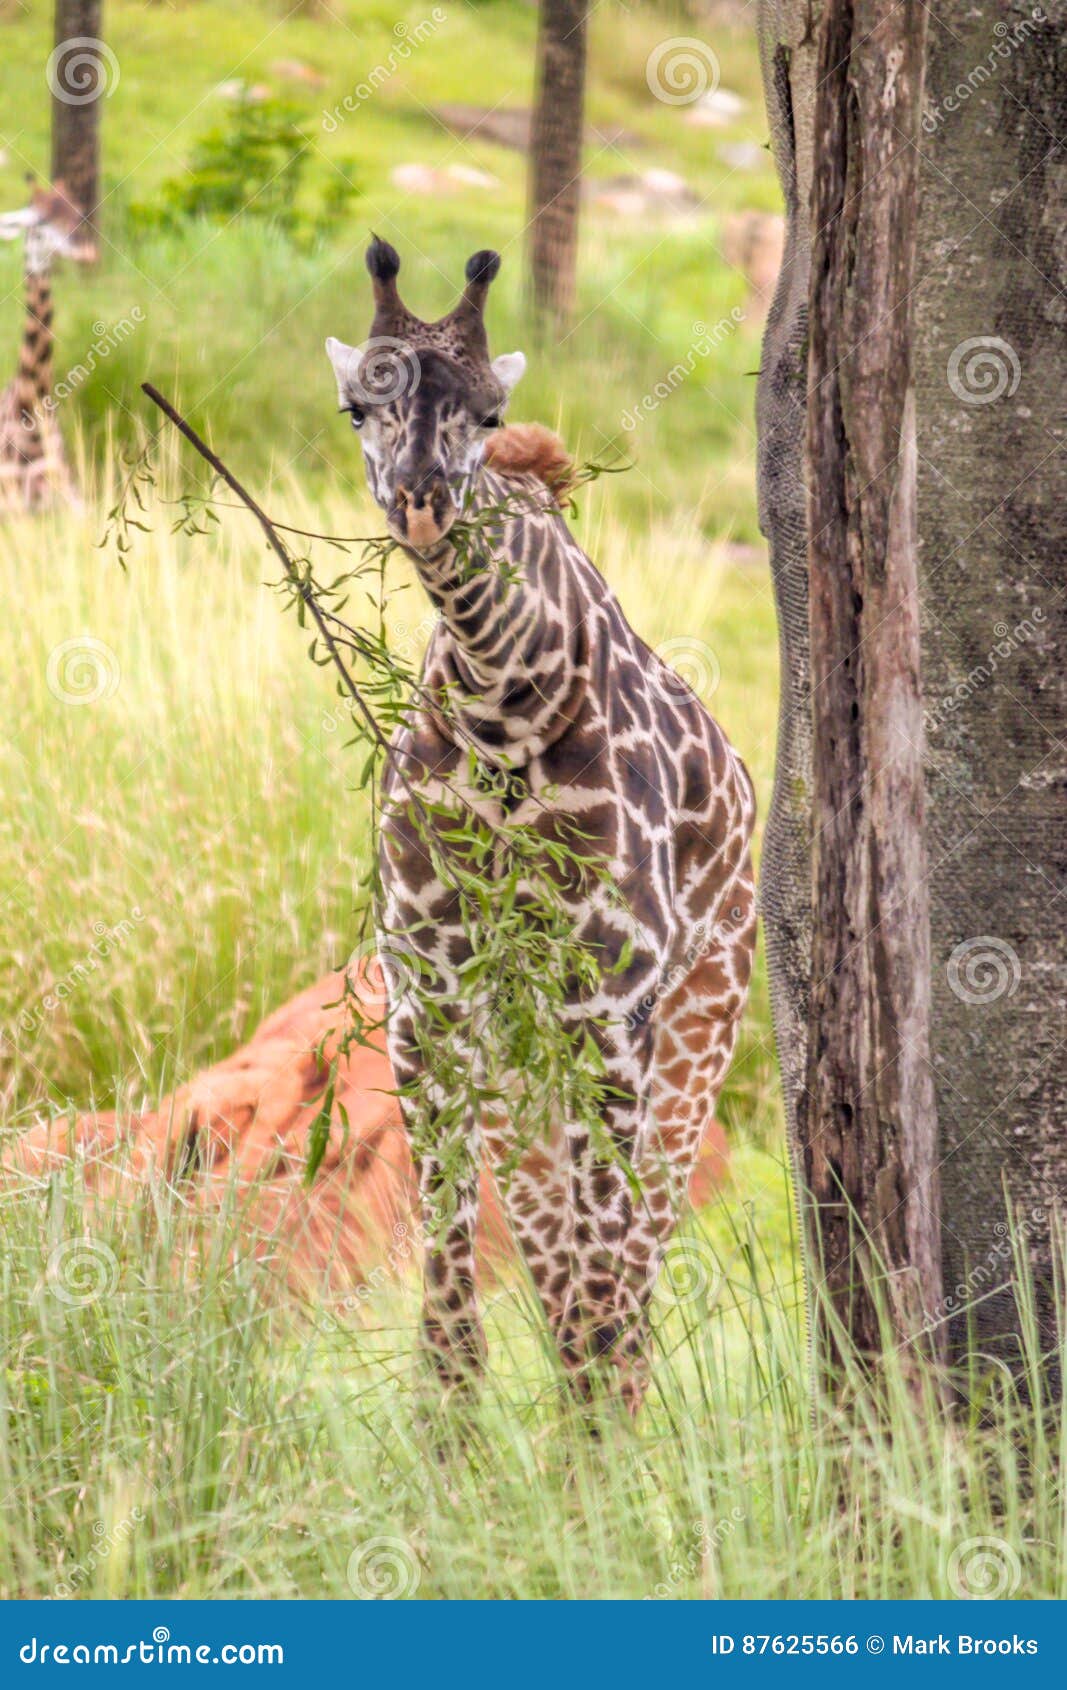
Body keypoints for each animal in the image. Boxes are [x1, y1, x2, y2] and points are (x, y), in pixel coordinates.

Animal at [325, 238, 757, 1411]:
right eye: (357, 406)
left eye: (488, 410)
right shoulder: (427, 990)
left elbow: (606, 1290)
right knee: (564, 1270)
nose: (424, 503)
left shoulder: (608, 999)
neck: (502, 705)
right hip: (519, 1052)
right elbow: (456, 1295)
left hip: (699, 1013)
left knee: (633, 1262)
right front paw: (452, 1442)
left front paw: (587, 1455)